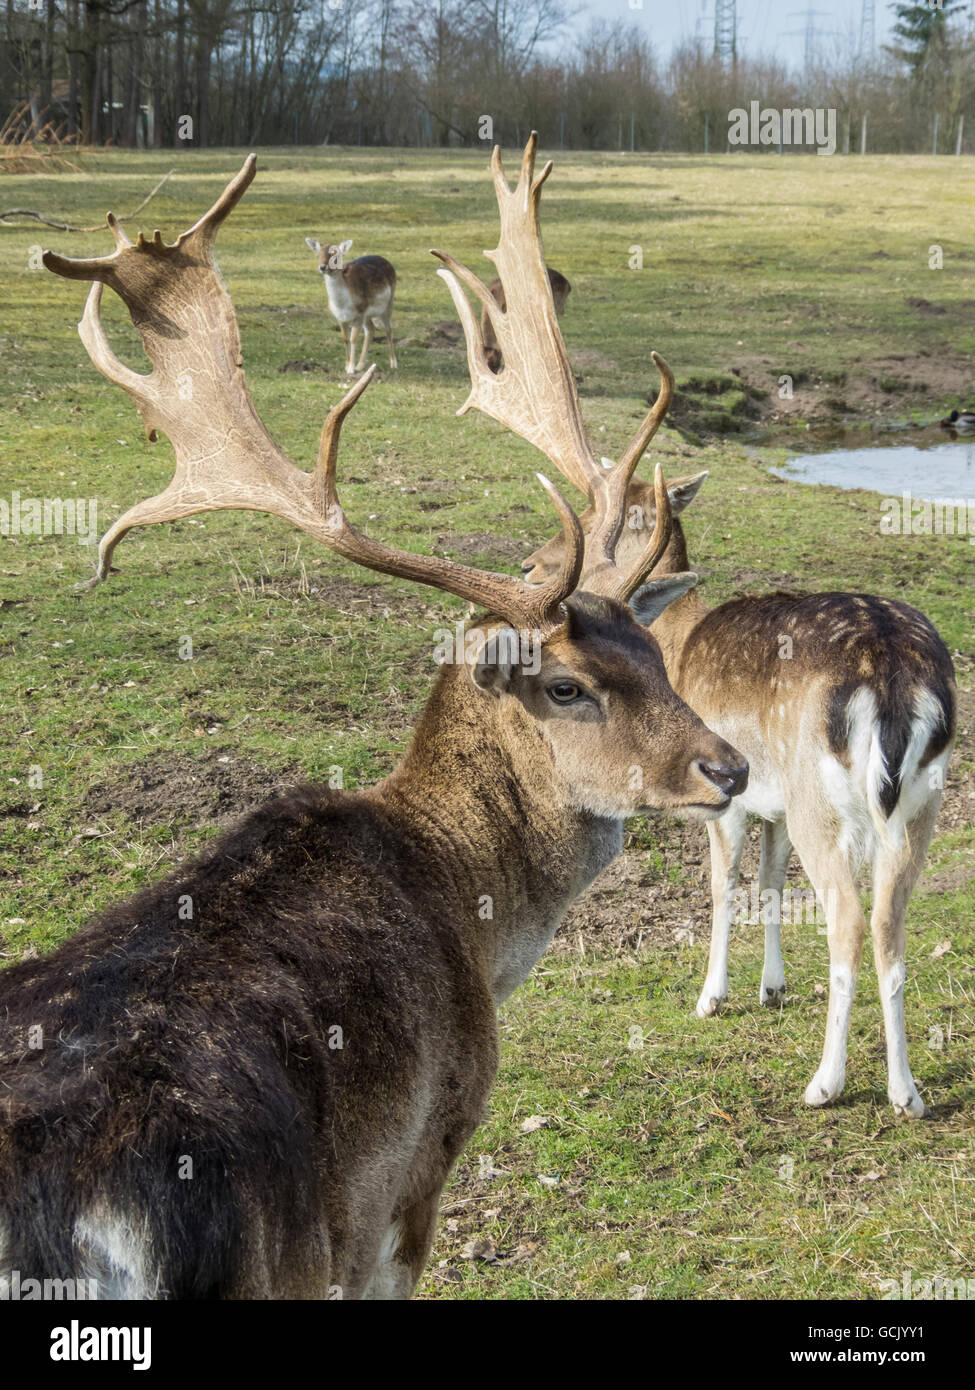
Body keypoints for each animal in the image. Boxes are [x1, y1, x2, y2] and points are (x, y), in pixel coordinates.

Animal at [304, 236, 397, 374]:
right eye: (317, 254)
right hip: (367, 314)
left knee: (388, 330)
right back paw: (361, 365)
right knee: (371, 329)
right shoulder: (340, 317)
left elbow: (353, 339)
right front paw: (348, 365)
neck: (342, 304)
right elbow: (345, 338)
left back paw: (393, 363)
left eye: (335, 254)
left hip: (388, 304)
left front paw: (351, 369)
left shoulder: (359, 314)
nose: (322, 267)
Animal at [523, 433, 956, 1120]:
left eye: (590, 523)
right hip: (920, 804)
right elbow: (771, 882)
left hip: (821, 804)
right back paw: (906, 1093)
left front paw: (712, 997)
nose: (530, 568)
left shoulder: (726, 790)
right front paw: (771, 988)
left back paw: (825, 1083)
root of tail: (891, 676)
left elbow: (724, 886)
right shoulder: (773, 803)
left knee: (850, 922)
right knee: (890, 925)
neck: (682, 643)